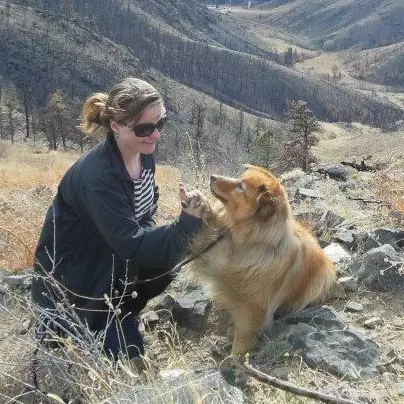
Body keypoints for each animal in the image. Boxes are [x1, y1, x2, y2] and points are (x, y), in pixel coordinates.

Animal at [188, 166, 336, 356]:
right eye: (239, 178)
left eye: (240, 187)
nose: (212, 176)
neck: (245, 241)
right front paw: (201, 206)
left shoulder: (253, 309)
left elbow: (243, 335)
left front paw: (236, 356)